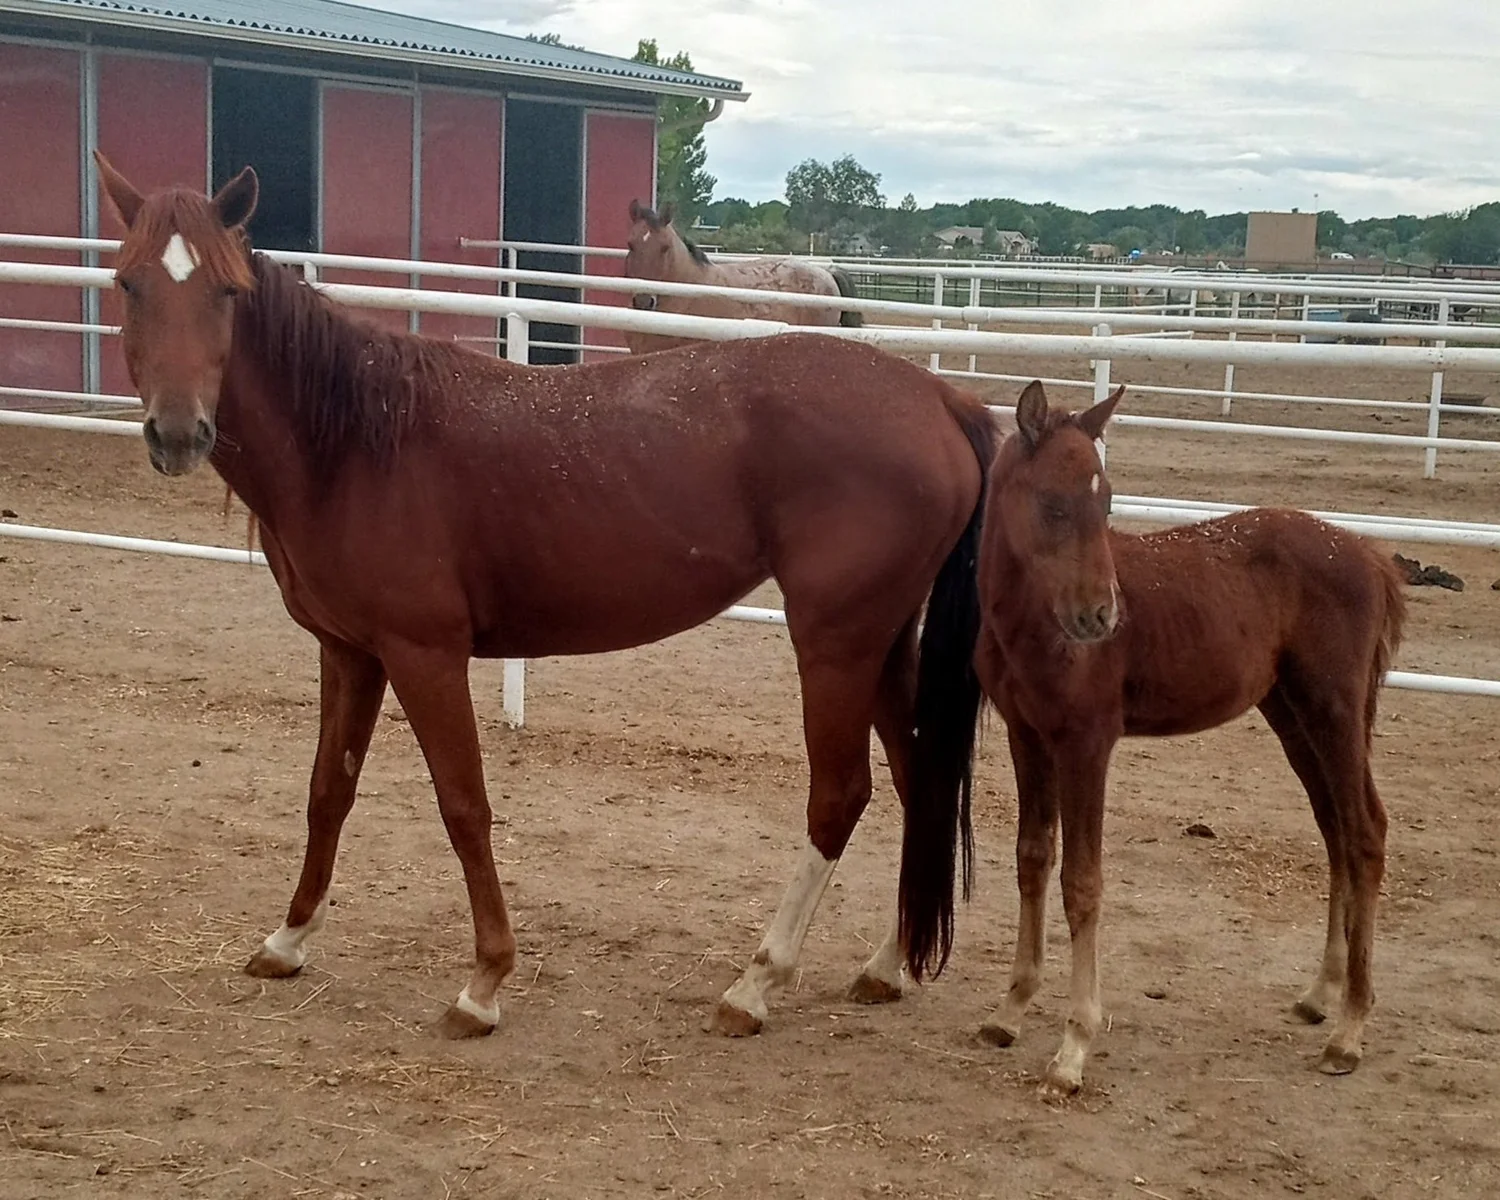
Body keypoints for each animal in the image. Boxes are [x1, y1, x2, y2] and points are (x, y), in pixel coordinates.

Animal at [898, 380, 1406, 1097]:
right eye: (1053, 503)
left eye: (1106, 499)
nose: (1101, 617)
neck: (1034, 625)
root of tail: (1367, 555)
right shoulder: (1030, 736)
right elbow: (1033, 860)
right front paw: (1010, 1011)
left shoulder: (1087, 743)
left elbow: (1082, 881)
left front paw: (1073, 1050)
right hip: (1292, 714)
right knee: (1335, 829)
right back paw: (1319, 997)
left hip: (1334, 709)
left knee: (1363, 833)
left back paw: (1350, 1030)